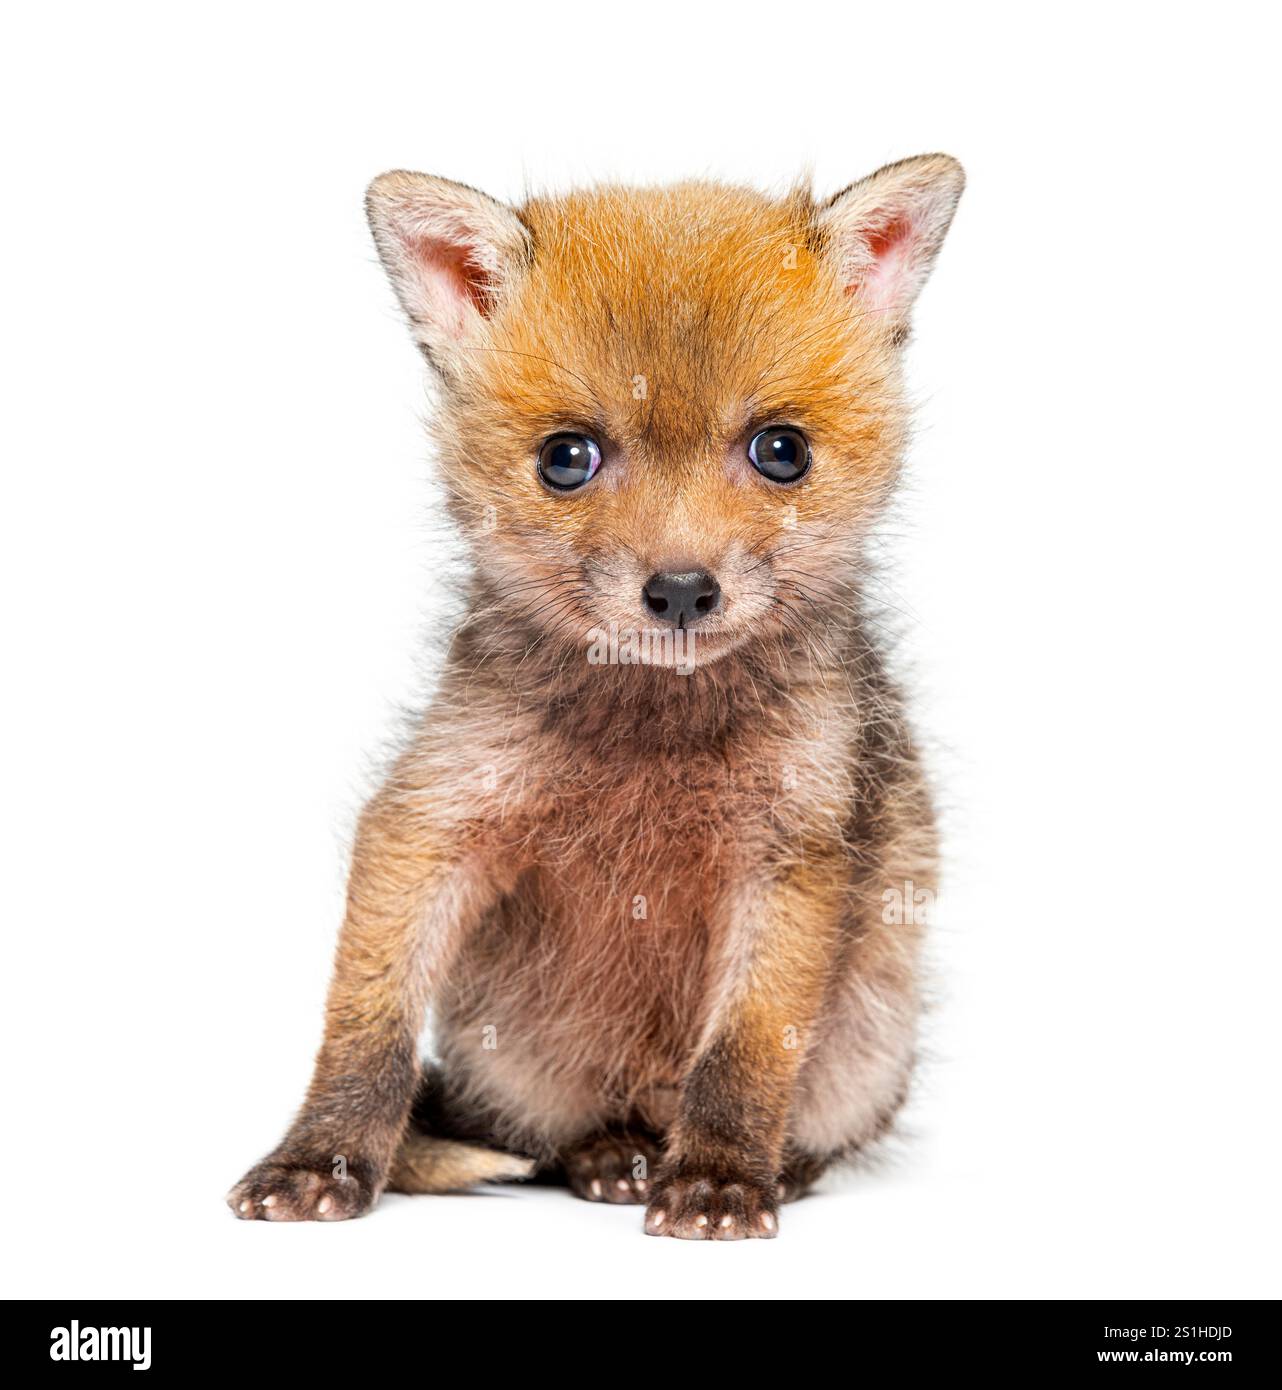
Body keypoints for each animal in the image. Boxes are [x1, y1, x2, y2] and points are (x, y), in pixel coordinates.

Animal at [227, 153, 964, 1238]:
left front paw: (720, 1178)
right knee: (553, 1137)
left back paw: (746, 1165)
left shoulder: (793, 855)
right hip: (516, 1065)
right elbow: (367, 1026)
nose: (683, 590)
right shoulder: (425, 821)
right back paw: (613, 1157)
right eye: (566, 458)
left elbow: (744, 1050)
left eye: (780, 450)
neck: (651, 737)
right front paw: (322, 1155)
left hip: (867, 1057)